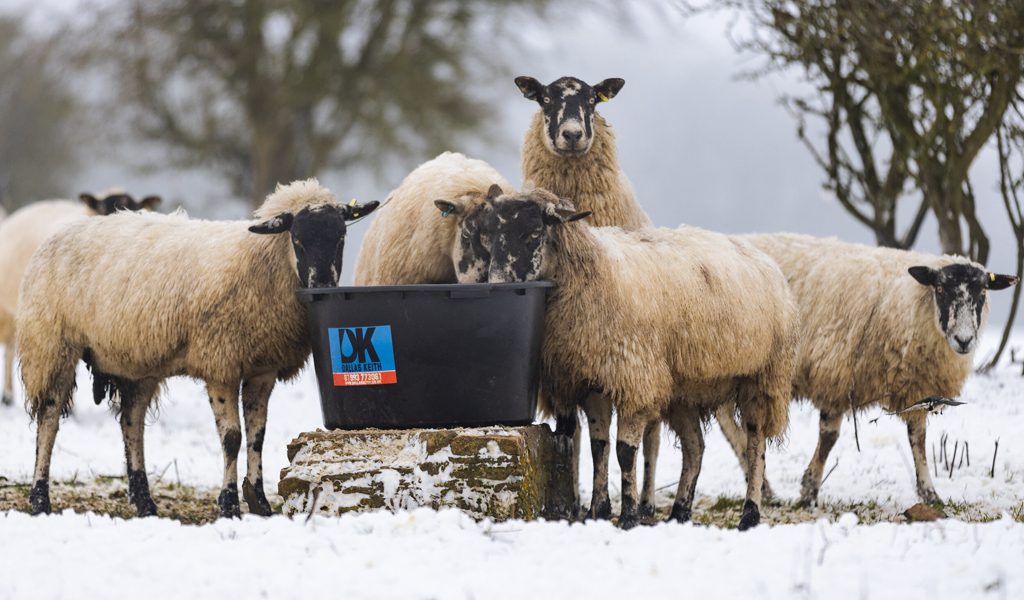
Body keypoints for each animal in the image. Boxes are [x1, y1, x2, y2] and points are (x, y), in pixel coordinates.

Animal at [17, 179, 379, 518]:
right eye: (298, 240)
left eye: (341, 237)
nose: (322, 286)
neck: (260, 263)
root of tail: (65, 230)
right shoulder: (220, 362)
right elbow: (232, 438)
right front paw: (229, 505)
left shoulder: (263, 368)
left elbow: (258, 435)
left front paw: (260, 503)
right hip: (52, 343)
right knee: (49, 420)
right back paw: (39, 498)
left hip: (136, 359)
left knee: (131, 423)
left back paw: (145, 502)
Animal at [446, 189, 798, 529]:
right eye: (491, 236)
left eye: (533, 234)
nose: (497, 285)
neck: (593, 273)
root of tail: (762, 256)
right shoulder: (592, 382)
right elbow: (598, 447)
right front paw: (597, 511)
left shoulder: (633, 378)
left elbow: (625, 452)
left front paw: (628, 515)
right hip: (683, 389)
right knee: (695, 446)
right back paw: (680, 512)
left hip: (763, 377)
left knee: (756, 444)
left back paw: (750, 514)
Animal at [514, 75, 661, 518]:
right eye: (544, 99)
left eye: (593, 100)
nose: (573, 135)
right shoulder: (563, 365)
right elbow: (573, 435)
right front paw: (580, 501)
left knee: (652, 438)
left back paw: (648, 502)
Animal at [715, 233, 1018, 506]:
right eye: (941, 290)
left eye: (982, 292)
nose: (964, 340)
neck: (905, 305)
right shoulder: (836, 371)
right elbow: (829, 437)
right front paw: (809, 489)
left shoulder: (918, 388)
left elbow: (918, 439)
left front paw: (930, 493)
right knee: (729, 420)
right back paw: (760, 481)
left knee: (725, 416)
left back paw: (759, 479)